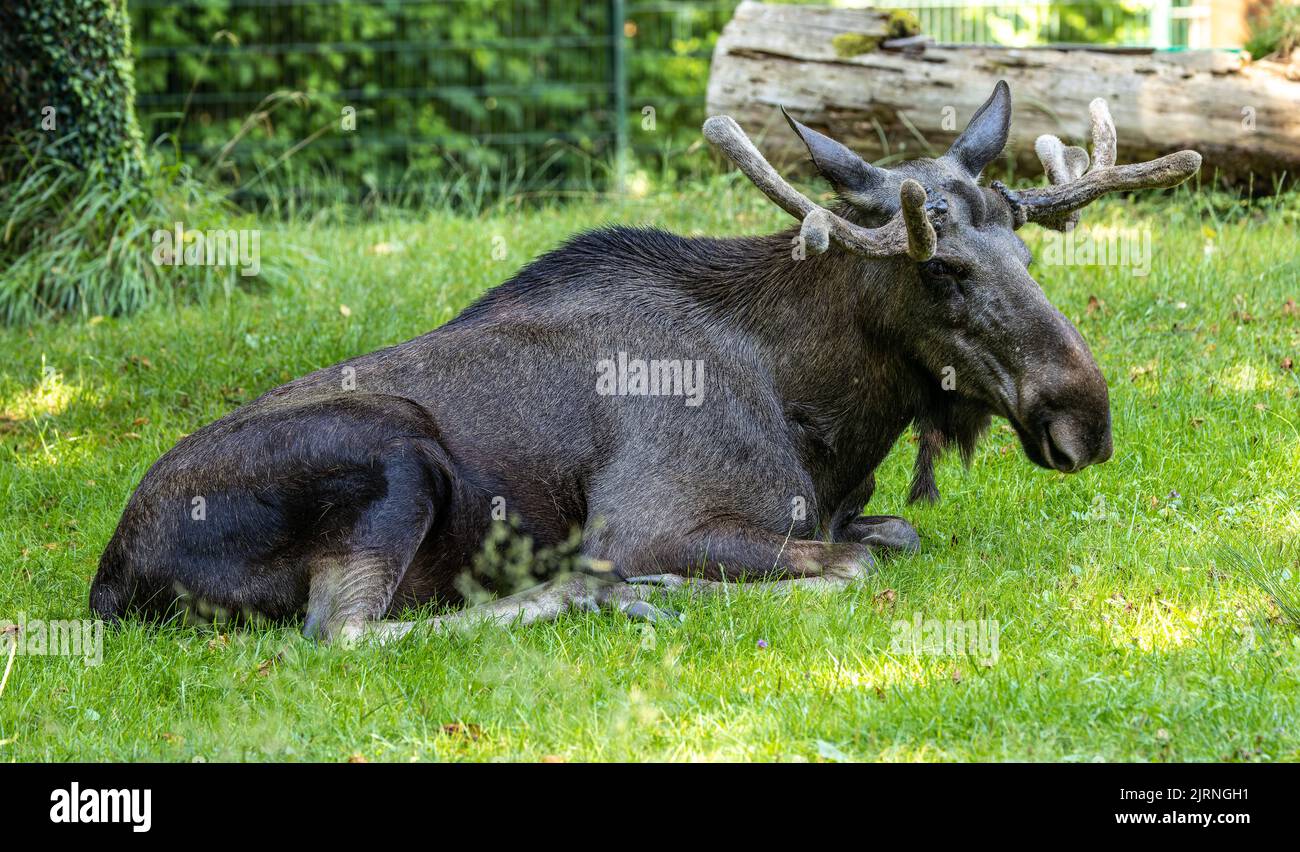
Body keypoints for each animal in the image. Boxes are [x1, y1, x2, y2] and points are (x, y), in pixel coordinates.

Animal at [90, 81, 1201, 644]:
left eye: (1027, 252)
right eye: (940, 271)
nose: (1084, 417)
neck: (823, 420)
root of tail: (109, 579)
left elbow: (893, 537)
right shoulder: (655, 518)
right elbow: (847, 567)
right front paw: (640, 583)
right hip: (395, 455)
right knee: (344, 632)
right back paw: (591, 595)